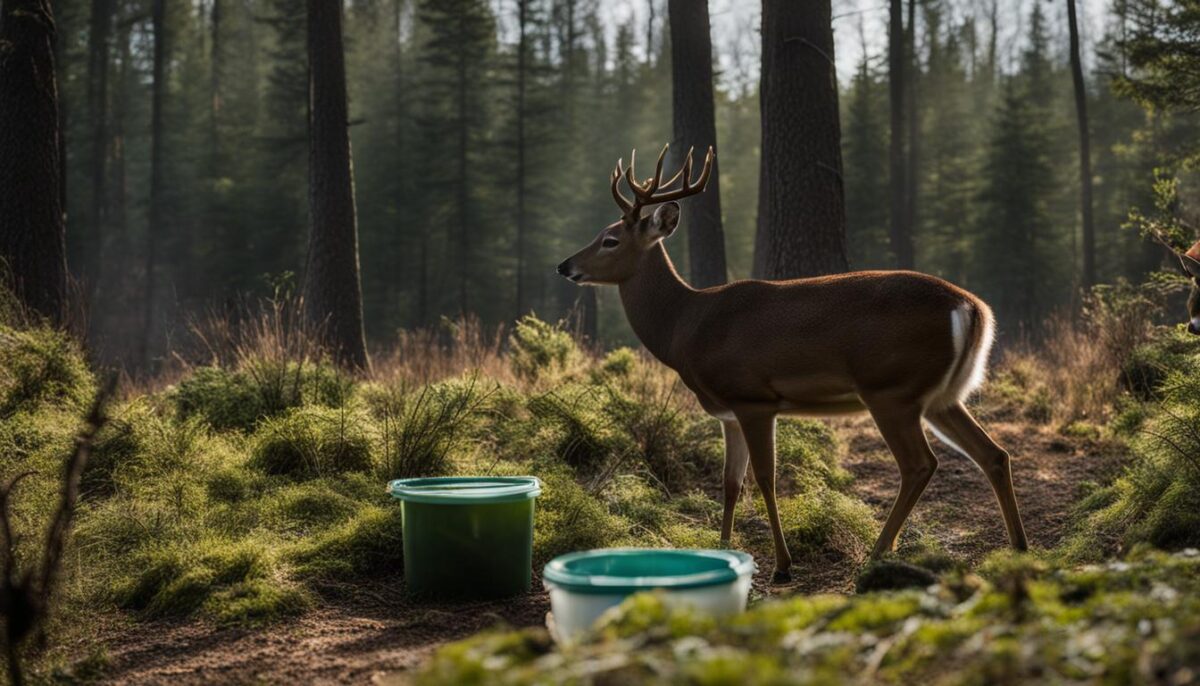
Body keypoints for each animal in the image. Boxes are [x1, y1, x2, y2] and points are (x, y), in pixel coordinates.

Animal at [556, 145, 1028, 581]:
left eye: (610, 239)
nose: (564, 266)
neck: (684, 327)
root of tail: (972, 308)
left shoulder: (753, 398)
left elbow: (765, 477)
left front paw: (783, 565)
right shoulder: (728, 413)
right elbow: (730, 483)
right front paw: (721, 548)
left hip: (892, 388)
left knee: (919, 465)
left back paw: (878, 552)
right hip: (942, 397)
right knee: (994, 454)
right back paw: (1020, 549)